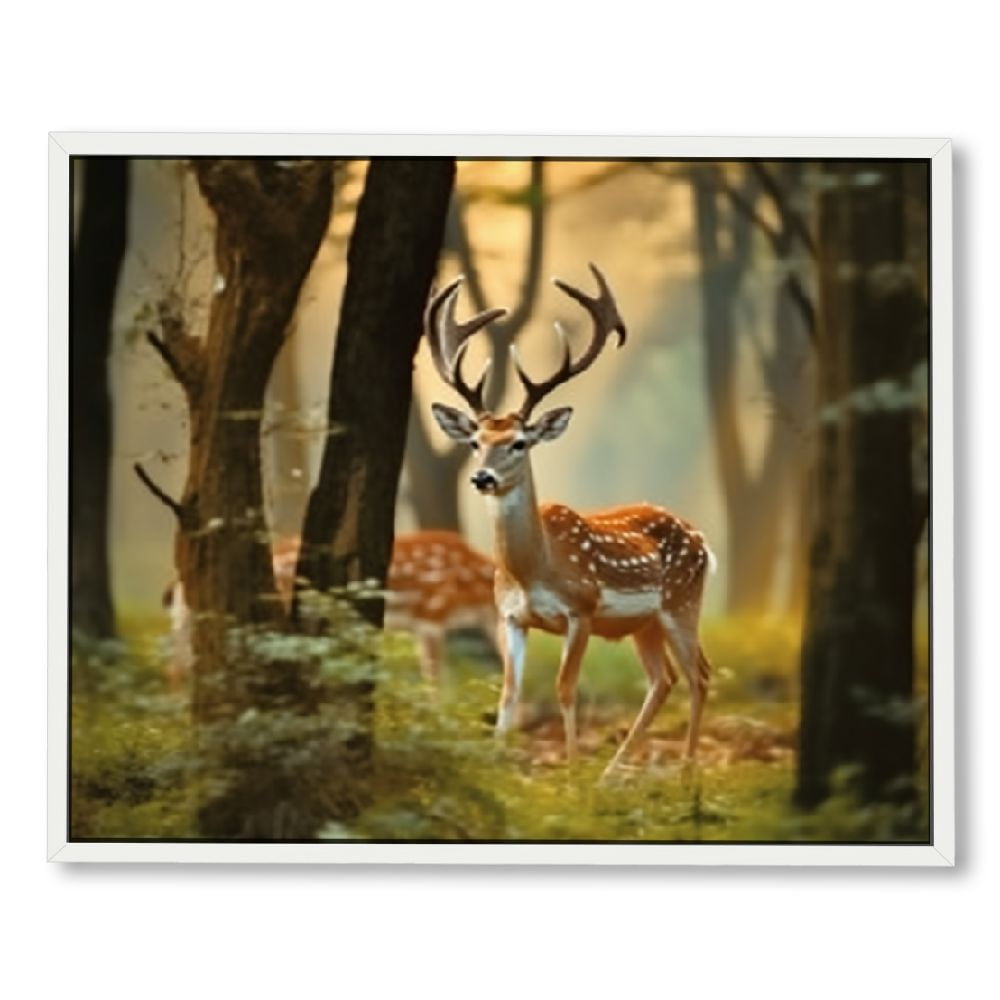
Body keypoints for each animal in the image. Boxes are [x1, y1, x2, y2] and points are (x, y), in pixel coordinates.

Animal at [426, 263, 715, 779]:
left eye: (519, 442)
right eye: (475, 441)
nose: (481, 477)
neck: (533, 569)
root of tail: (703, 540)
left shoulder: (581, 608)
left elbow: (565, 688)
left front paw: (571, 773)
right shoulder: (509, 615)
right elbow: (509, 693)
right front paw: (496, 771)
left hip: (683, 601)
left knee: (699, 674)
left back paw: (683, 777)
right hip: (644, 623)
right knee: (664, 679)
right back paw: (611, 776)